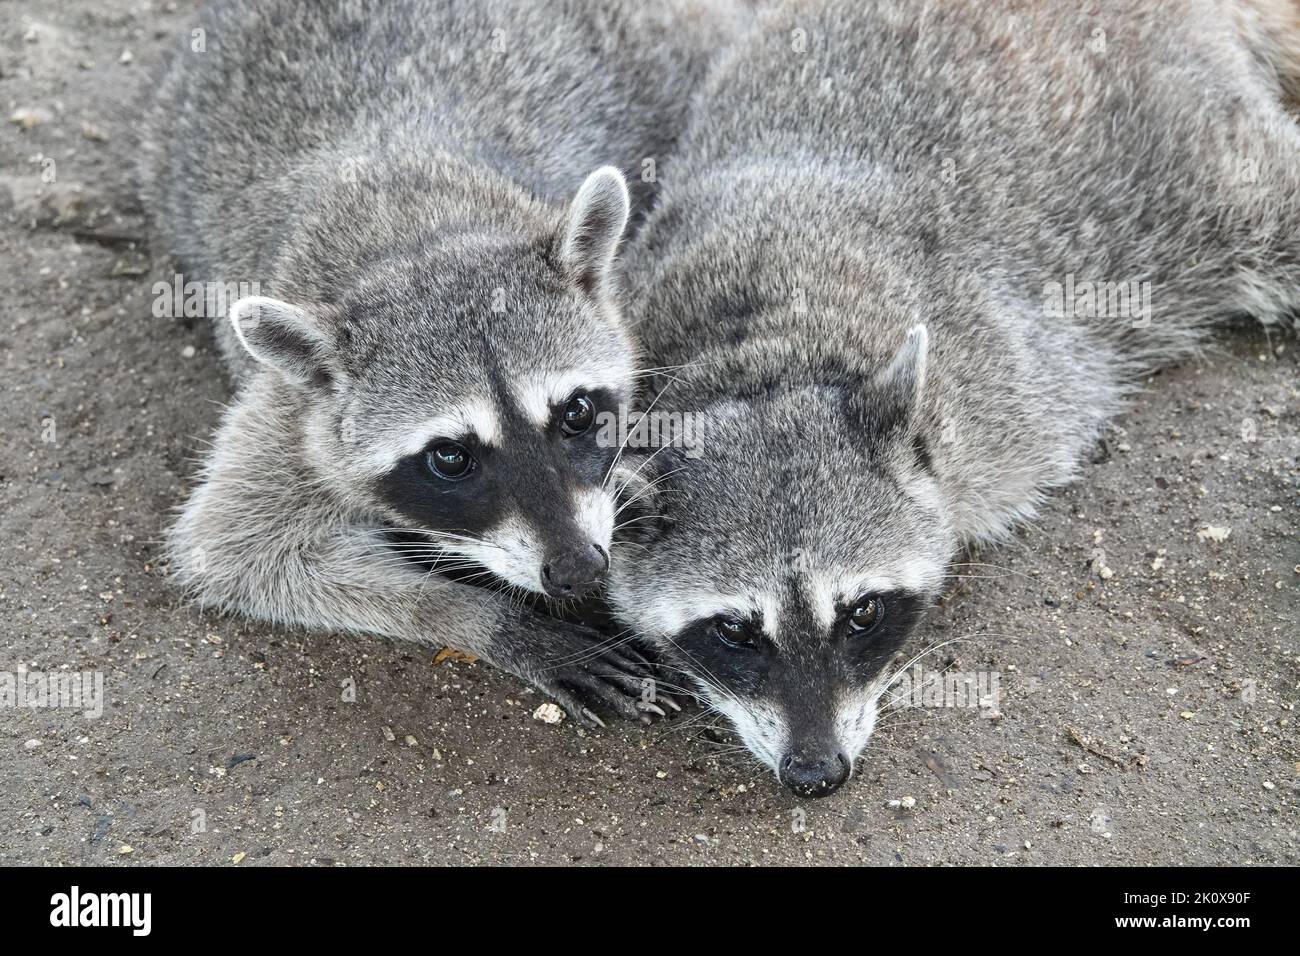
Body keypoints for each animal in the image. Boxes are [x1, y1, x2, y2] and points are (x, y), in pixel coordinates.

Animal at [140, 0, 746, 723]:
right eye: (451, 457)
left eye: (575, 413)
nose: (578, 571)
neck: (420, 234)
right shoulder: (294, 416)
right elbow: (231, 551)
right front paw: (490, 620)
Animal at [606, 0, 1300, 791]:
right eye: (733, 629)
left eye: (863, 611)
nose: (816, 773)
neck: (759, 354)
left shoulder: (1013, 379)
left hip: (1194, 176)